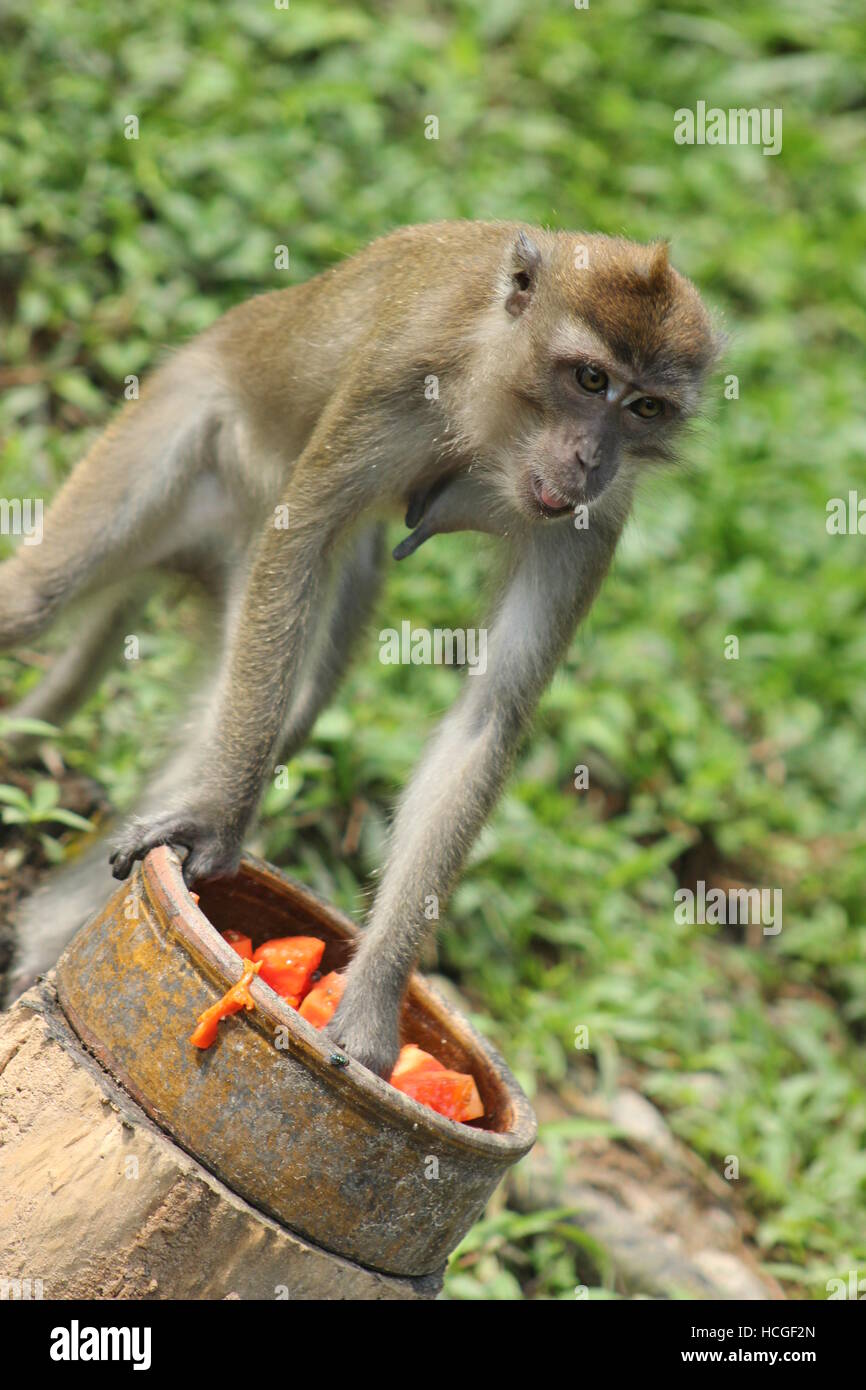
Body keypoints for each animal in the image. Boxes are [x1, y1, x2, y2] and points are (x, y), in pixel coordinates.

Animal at [0, 221, 718, 1074]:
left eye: (644, 407)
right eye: (588, 377)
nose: (591, 458)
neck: (494, 413)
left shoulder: (595, 518)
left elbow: (490, 712)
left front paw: (373, 1005)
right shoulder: (400, 375)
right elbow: (299, 541)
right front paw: (215, 826)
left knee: (282, 704)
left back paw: (50, 942)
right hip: (183, 413)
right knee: (35, 600)